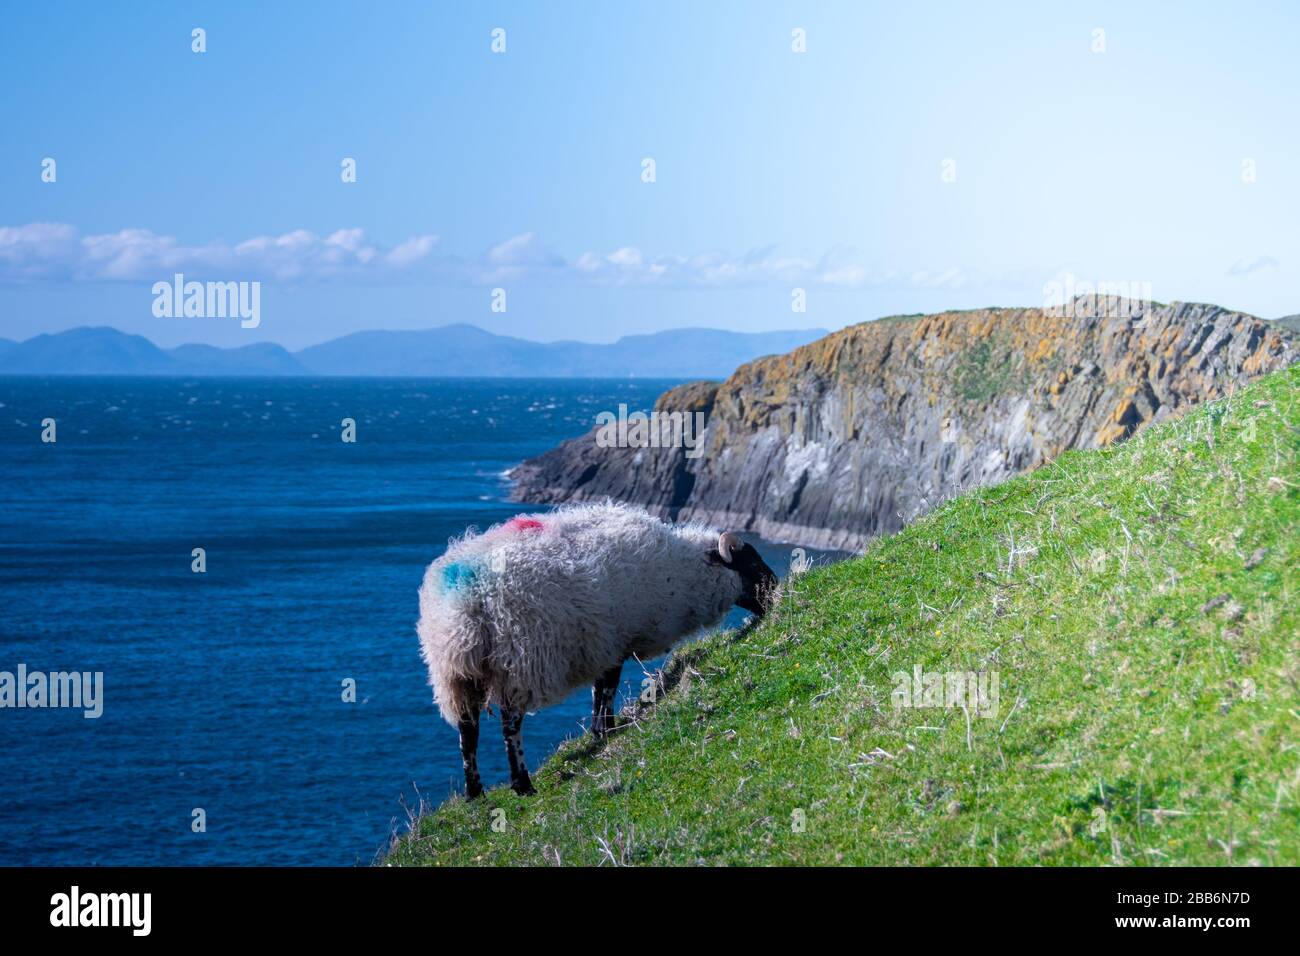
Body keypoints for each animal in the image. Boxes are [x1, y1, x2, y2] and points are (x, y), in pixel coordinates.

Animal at [417, 500, 777, 797]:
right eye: (751, 564)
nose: (777, 593)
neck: (681, 572)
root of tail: (463, 597)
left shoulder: (605, 644)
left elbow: (598, 690)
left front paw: (600, 730)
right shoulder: (615, 641)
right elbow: (607, 688)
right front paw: (606, 729)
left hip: (455, 674)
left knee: (468, 730)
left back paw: (475, 792)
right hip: (519, 661)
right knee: (510, 725)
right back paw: (522, 784)